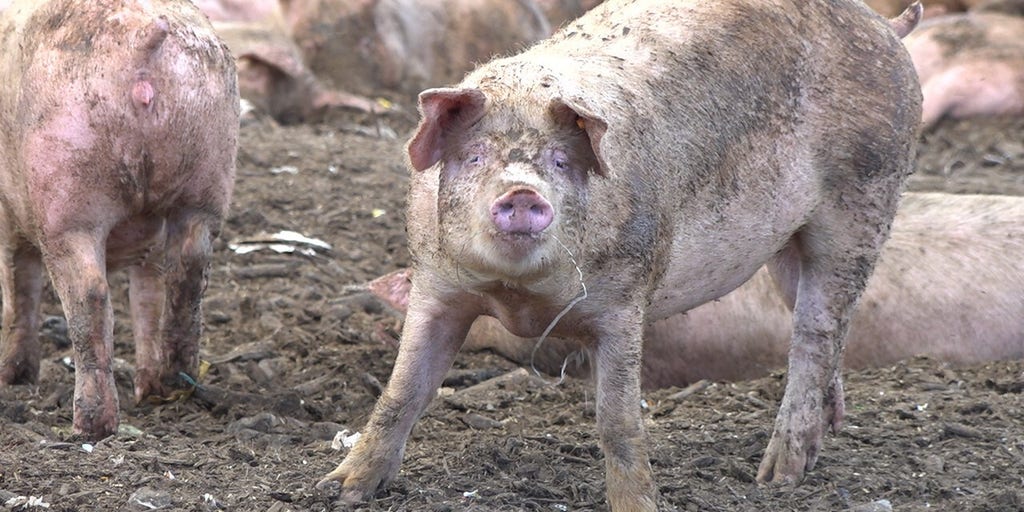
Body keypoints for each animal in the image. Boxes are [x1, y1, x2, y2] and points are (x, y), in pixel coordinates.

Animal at [0, 0, 239, 440]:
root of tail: (146, 38)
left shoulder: (10, 210)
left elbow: (17, 283)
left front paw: (13, 379)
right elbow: (147, 296)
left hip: (69, 197)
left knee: (90, 295)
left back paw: (90, 426)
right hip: (207, 177)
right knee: (186, 274)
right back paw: (167, 388)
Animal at [317, 0, 924, 508]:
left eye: (561, 161)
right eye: (474, 157)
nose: (521, 193)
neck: (520, 295)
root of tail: (883, 26)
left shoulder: (624, 302)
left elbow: (618, 420)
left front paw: (638, 504)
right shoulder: (436, 285)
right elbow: (402, 391)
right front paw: (339, 489)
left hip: (864, 199)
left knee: (815, 333)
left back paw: (777, 478)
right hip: (788, 240)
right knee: (821, 324)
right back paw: (824, 435)